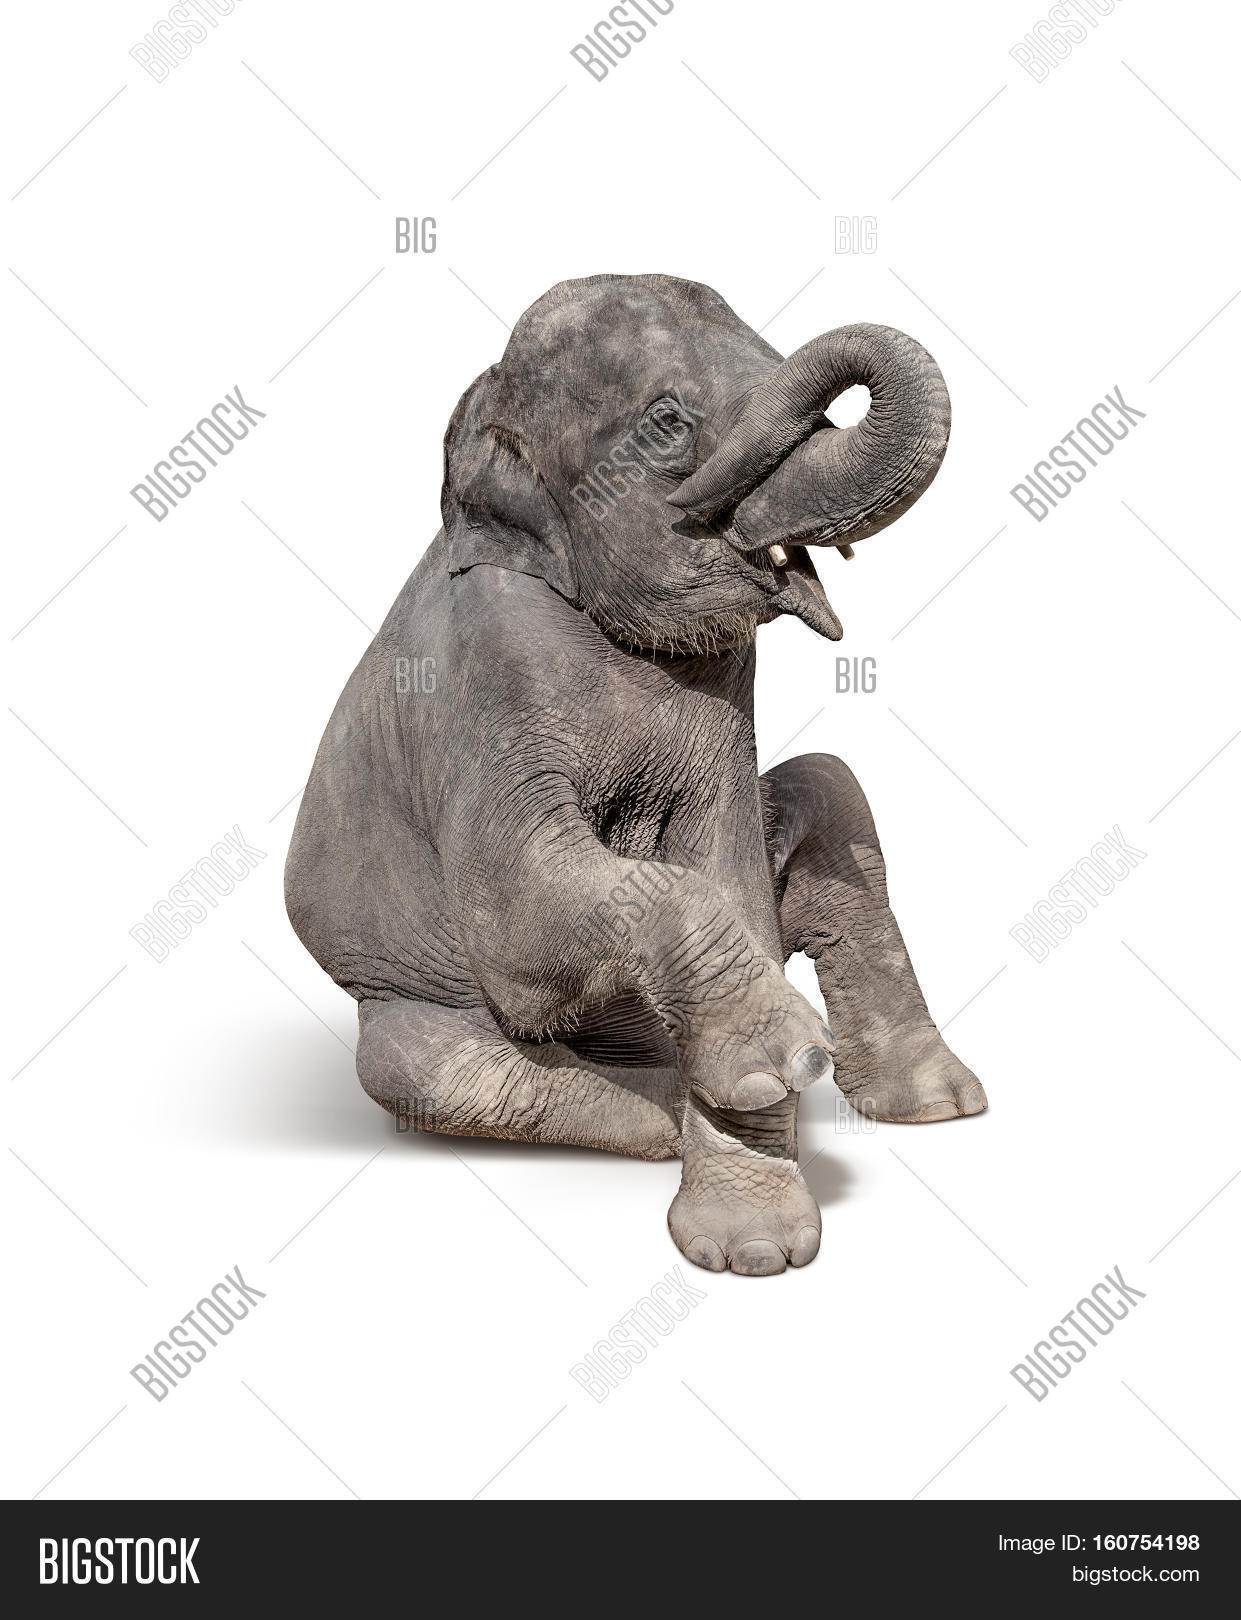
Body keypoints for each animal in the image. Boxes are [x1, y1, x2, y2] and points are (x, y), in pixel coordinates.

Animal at [285, 273, 987, 1277]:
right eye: (665, 421)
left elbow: (731, 872)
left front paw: (753, 1236)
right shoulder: (485, 669)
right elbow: (516, 914)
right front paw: (775, 1088)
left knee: (828, 781)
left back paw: (935, 1103)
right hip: (405, 1009)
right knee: (427, 1070)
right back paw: (662, 1113)